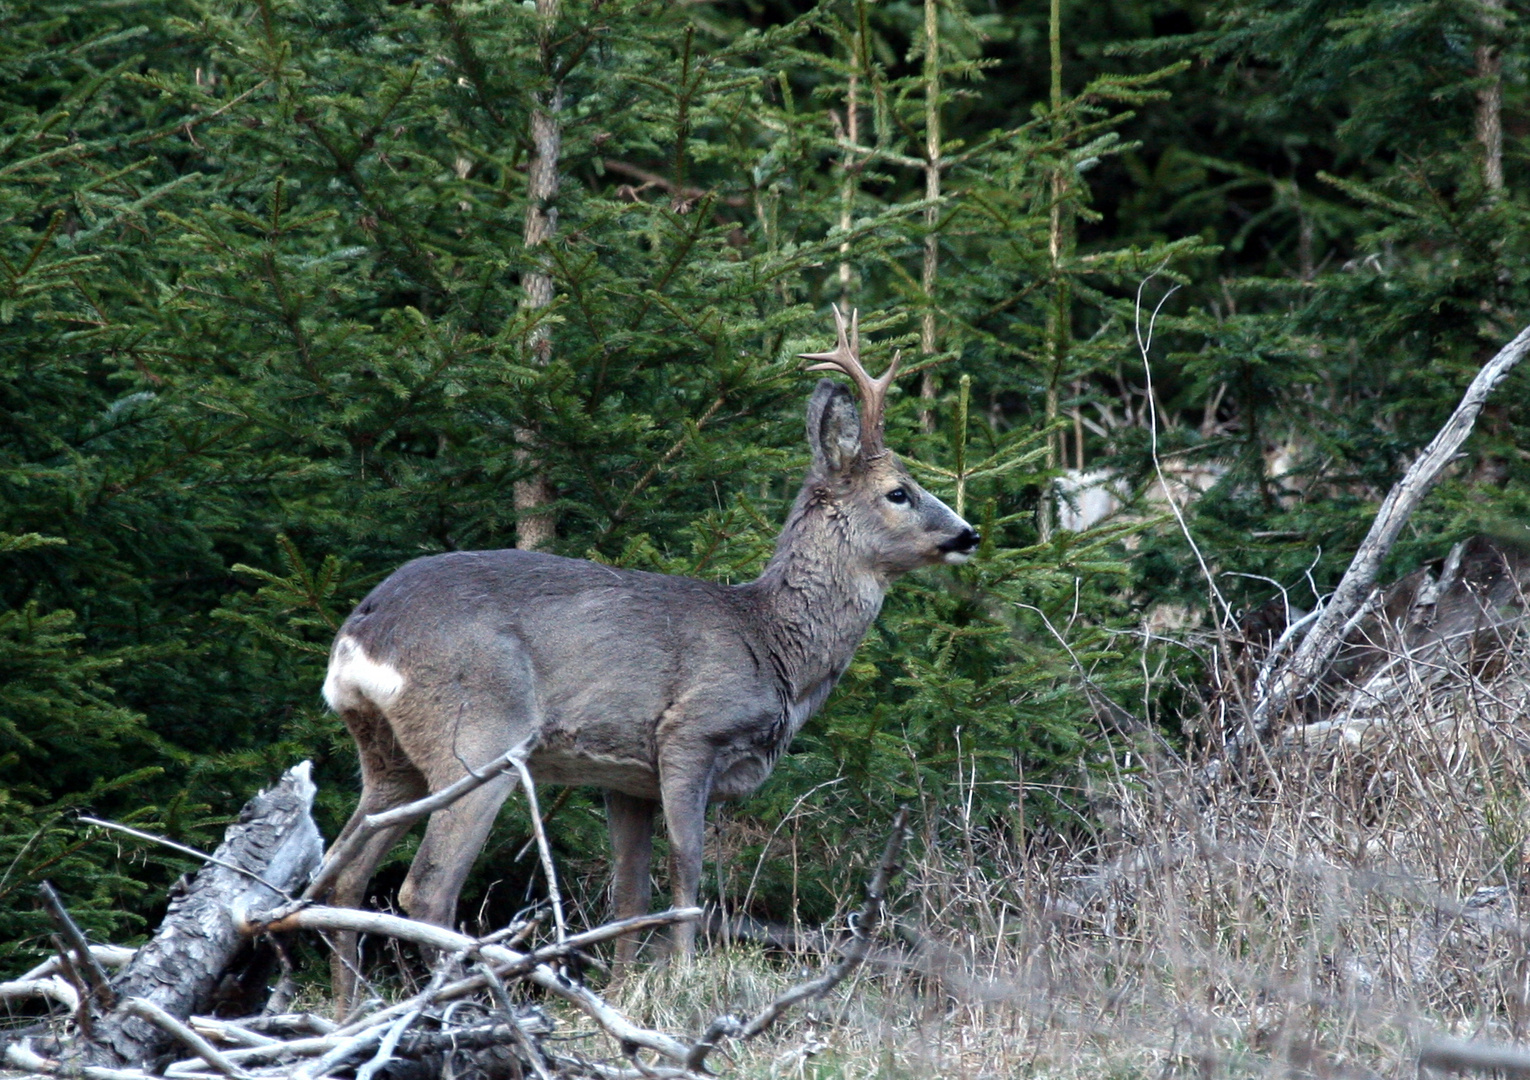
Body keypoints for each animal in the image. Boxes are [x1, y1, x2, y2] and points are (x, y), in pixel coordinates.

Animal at [321, 307, 979, 997]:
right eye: (899, 491)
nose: (969, 533)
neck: (773, 643)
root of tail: (361, 634)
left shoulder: (624, 777)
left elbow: (629, 895)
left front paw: (621, 994)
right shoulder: (690, 733)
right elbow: (687, 868)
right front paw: (684, 976)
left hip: (390, 758)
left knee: (344, 874)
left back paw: (350, 1007)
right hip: (477, 738)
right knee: (424, 889)